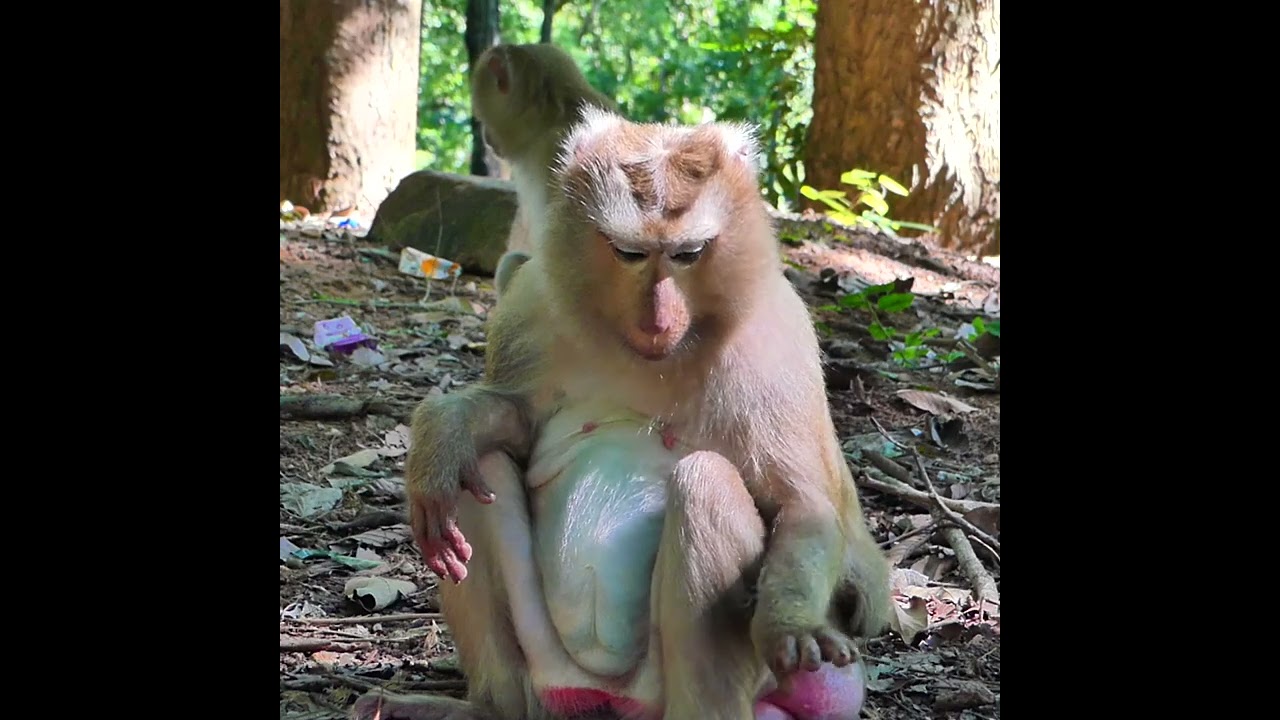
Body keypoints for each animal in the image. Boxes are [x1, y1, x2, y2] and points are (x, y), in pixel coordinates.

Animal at [352, 109, 892, 720]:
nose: (656, 320)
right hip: (552, 676)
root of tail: (607, 697)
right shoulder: (532, 303)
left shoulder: (776, 339)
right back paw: (489, 708)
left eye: (687, 254)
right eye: (629, 253)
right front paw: (446, 429)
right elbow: (514, 423)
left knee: (706, 485)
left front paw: (790, 621)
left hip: (659, 690)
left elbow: (803, 504)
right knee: (476, 470)